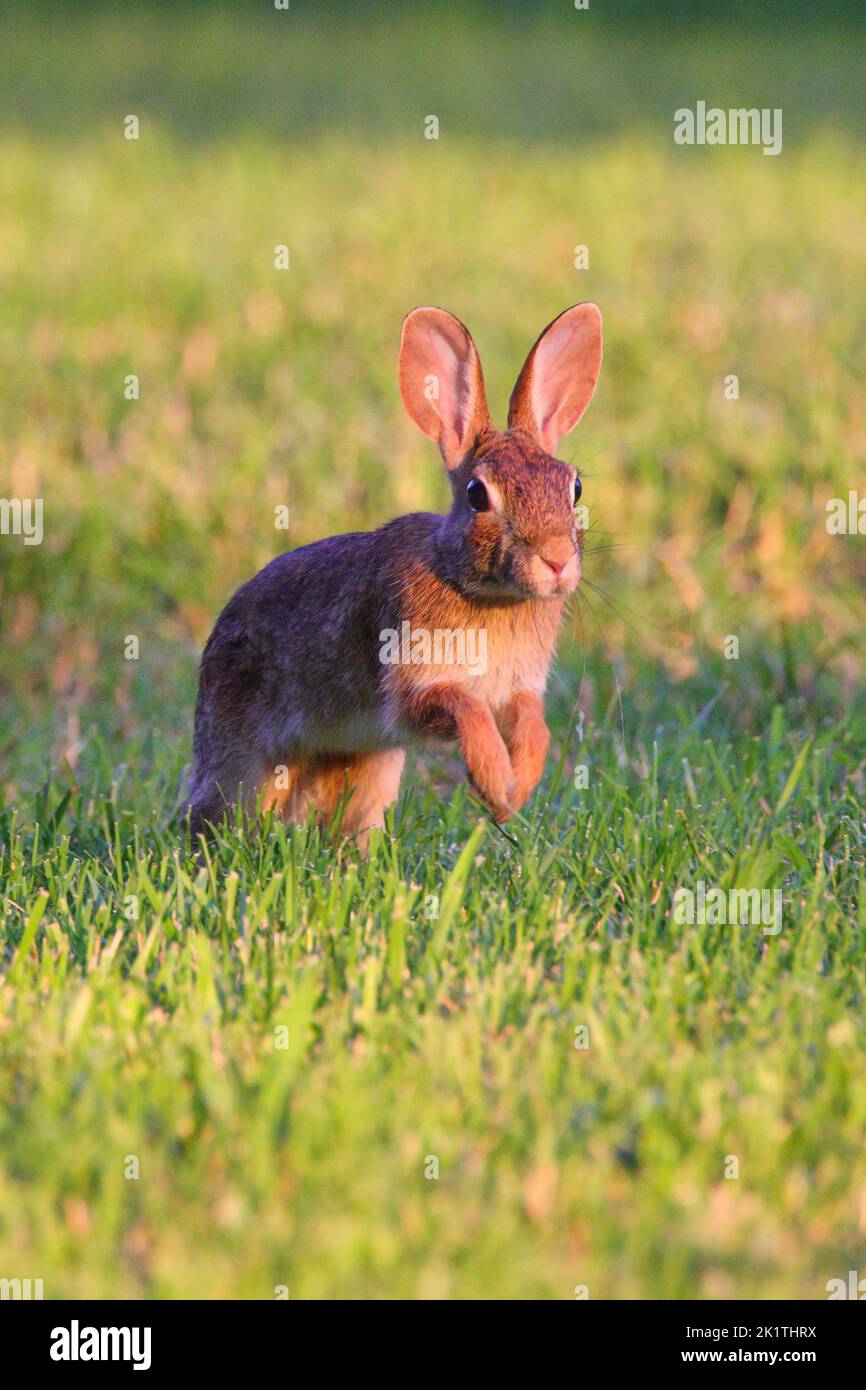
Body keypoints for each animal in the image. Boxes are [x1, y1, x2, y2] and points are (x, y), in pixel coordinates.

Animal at [186, 302, 603, 845]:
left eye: (574, 487)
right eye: (477, 495)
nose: (555, 559)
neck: (477, 585)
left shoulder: (519, 690)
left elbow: (536, 726)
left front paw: (517, 792)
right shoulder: (413, 685)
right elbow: (464, 708)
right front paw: (495, 784)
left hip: (369, 767)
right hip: (244, 760)